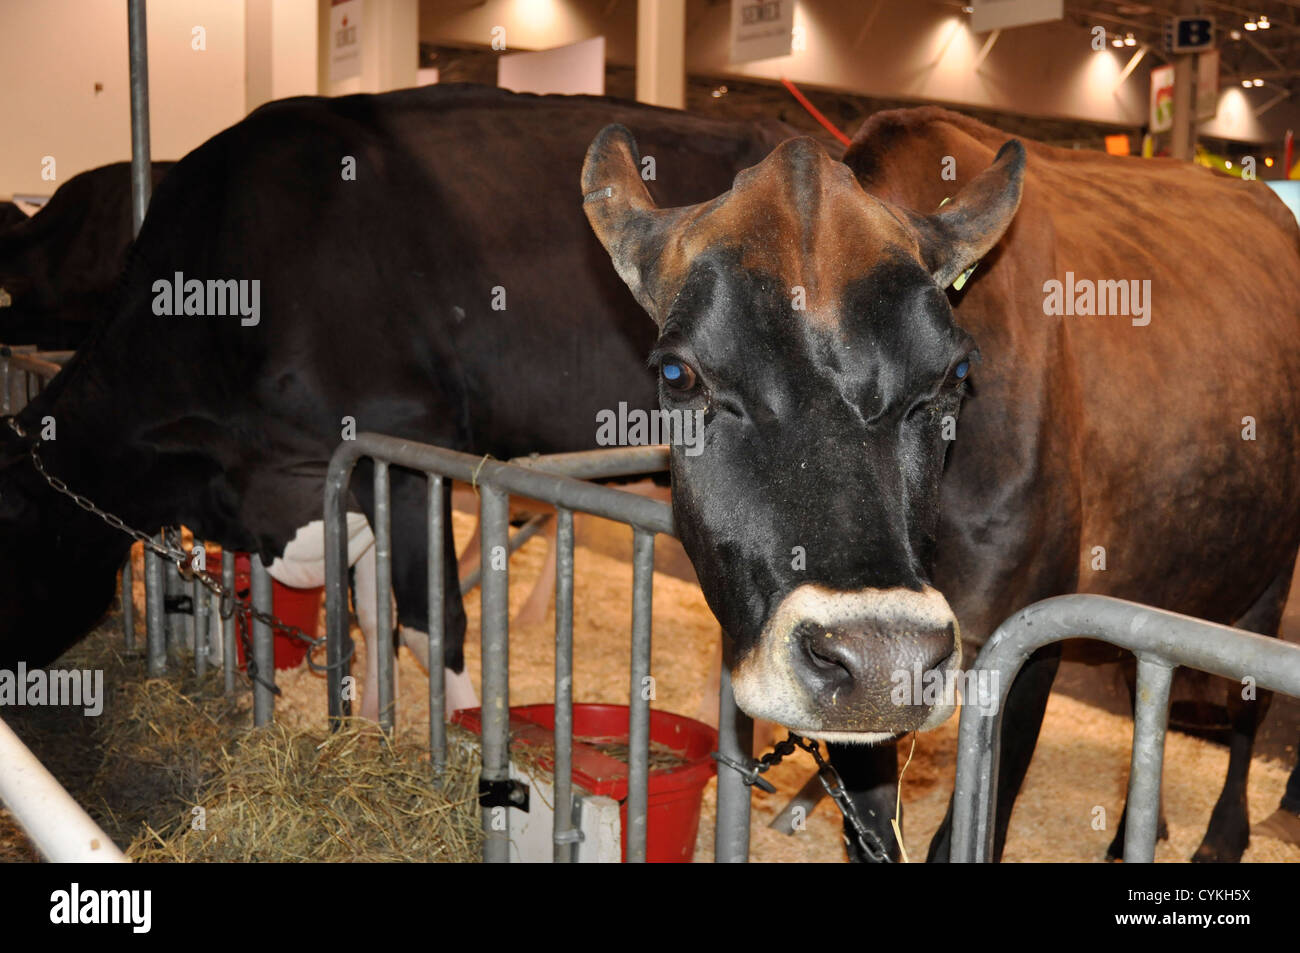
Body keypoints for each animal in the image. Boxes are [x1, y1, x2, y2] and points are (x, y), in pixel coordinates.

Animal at [581, 106, 1300, 862]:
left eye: (956, 373)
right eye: (677, 373)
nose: (881, 655)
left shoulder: (1026, 647)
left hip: (1267, 581)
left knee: (1247, 710)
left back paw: (1221, 835)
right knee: (1145, 680)